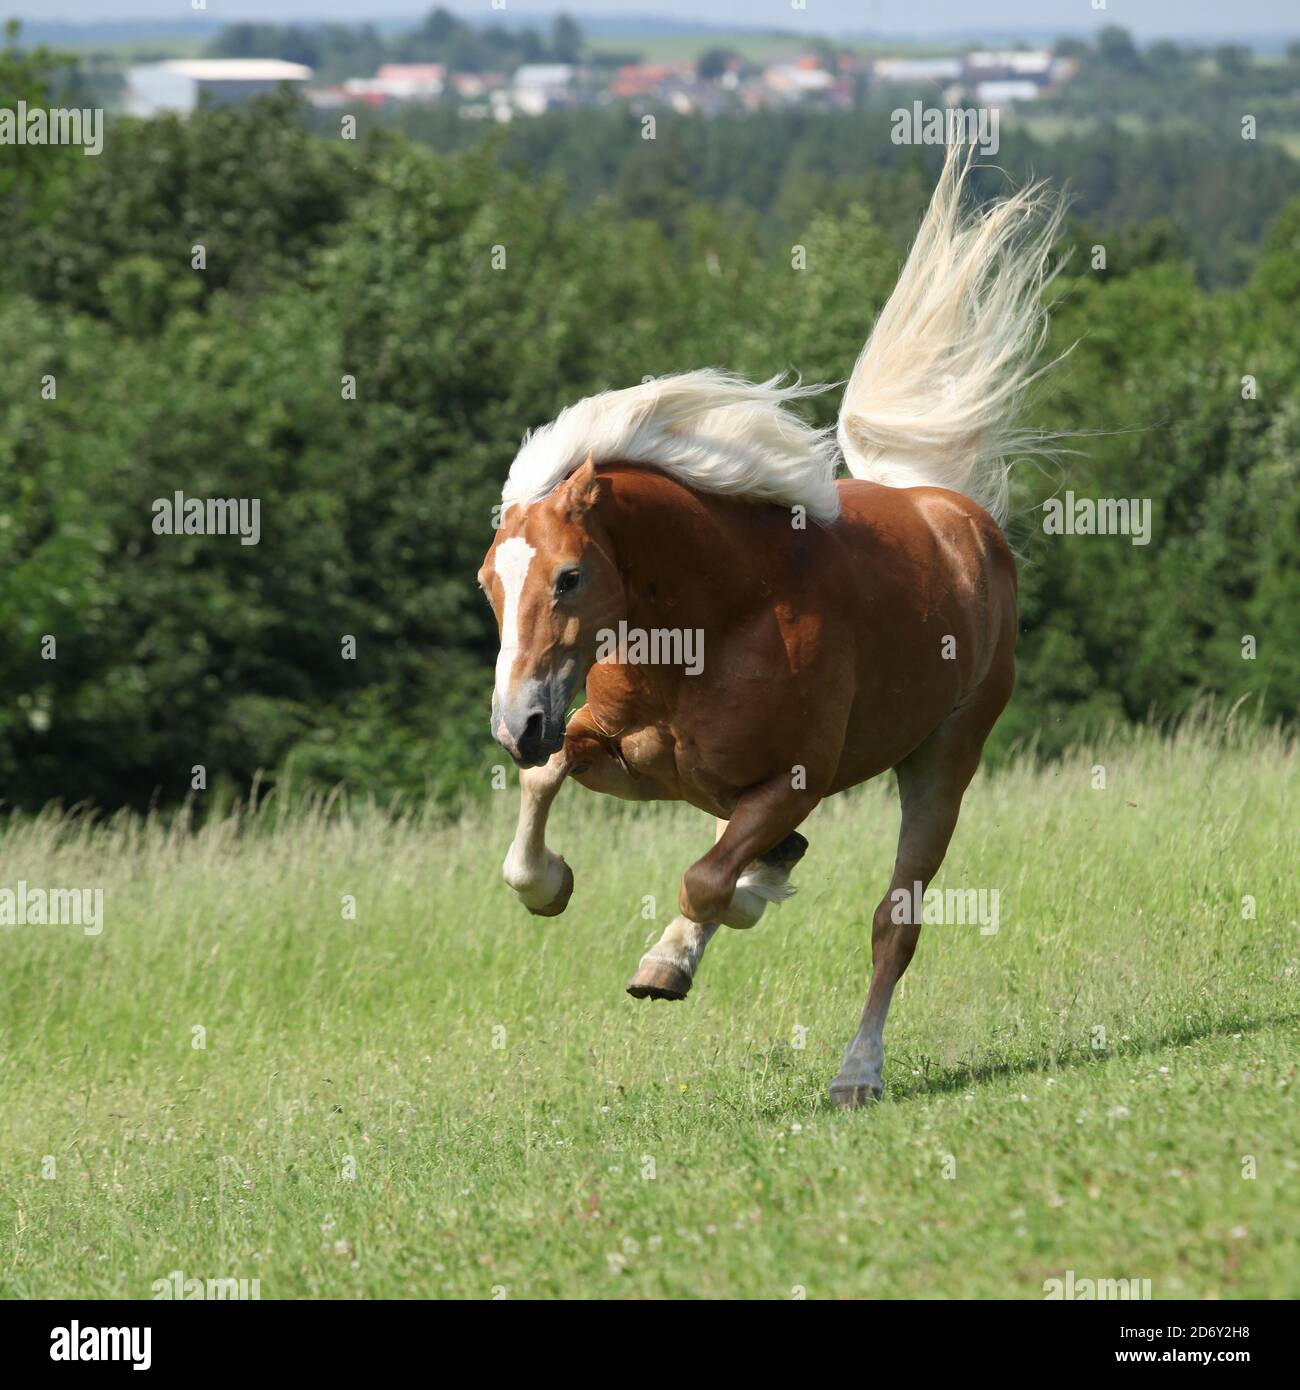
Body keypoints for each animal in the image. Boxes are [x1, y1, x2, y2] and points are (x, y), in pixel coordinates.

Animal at [477, 144, 1065, 1106]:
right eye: (490, 582)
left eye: (568, 576)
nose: (513, 722)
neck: (717, 621)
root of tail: (952, 512)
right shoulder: (629, 759)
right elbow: (547, 789)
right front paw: (551, 886)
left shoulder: (792, 780)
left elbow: (708, 879)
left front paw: (693, 939)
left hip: (944, 761)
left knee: (893, 925)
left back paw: (855, 1073)